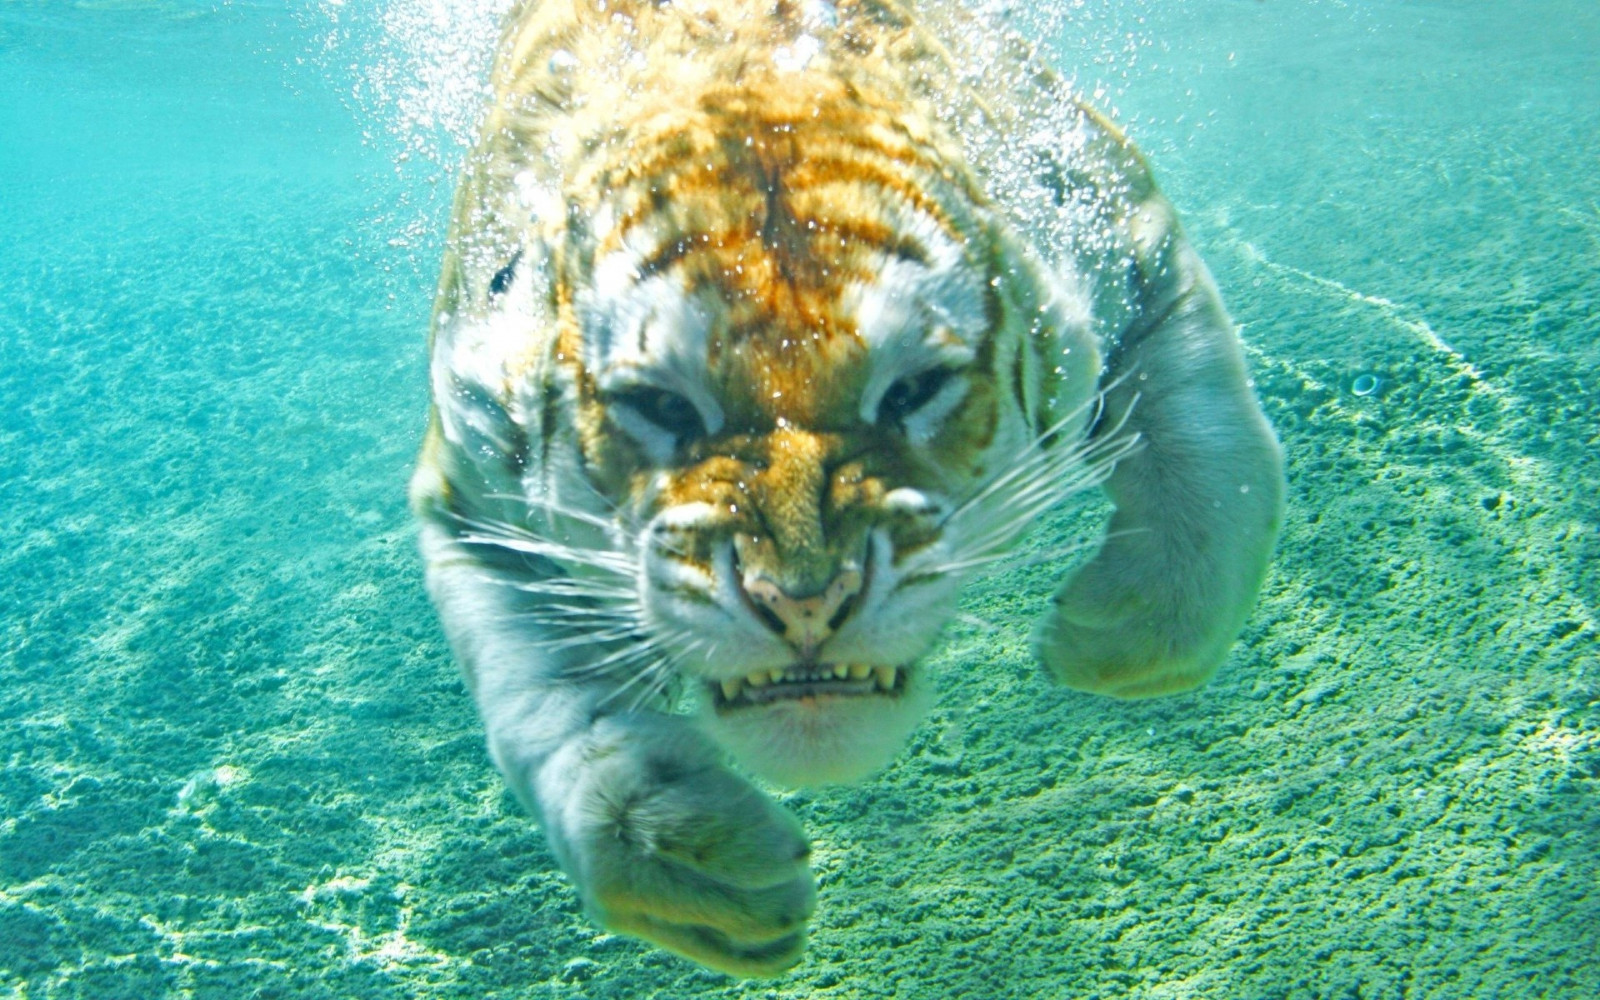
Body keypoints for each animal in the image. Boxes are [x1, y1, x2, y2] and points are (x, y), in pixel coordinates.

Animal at [409, 0, 1284, 977]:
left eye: (911, 391)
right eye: (663, 405)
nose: (804, 603)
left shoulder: (1130, 247)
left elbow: (1223, 467)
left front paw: (1102, 638)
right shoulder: (466, 484)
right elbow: (538, 707)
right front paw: (692, 865)